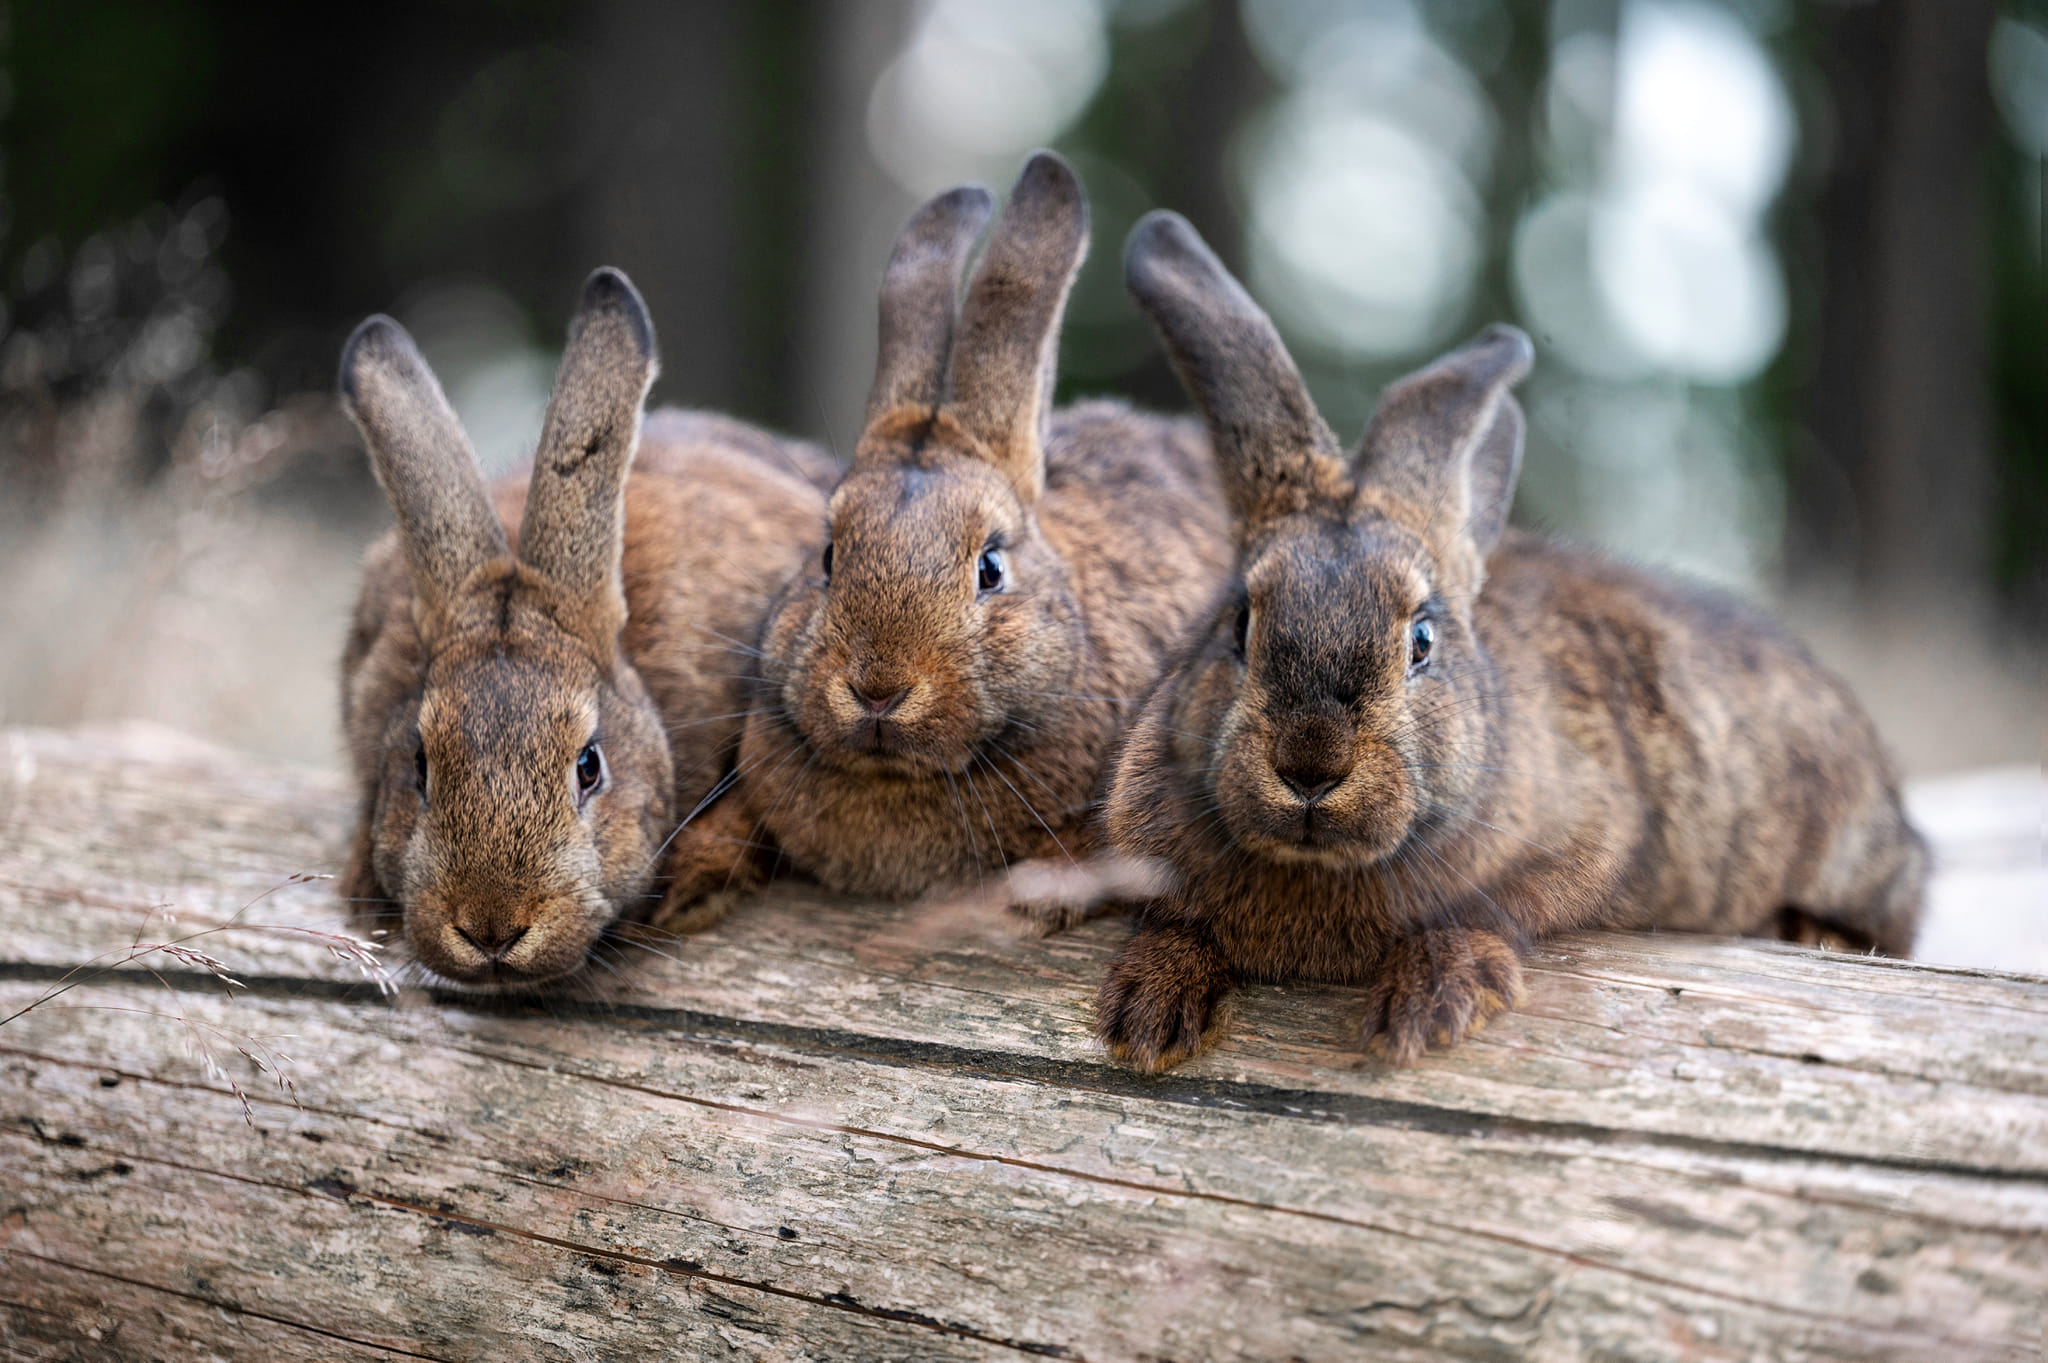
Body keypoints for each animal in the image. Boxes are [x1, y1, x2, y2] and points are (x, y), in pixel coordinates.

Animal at [1093, 210, 1929, 1070]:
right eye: (1239, 623)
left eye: (1422, 641)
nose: (1310, 765)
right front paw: (1147, 1011)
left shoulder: (1586, 839)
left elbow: (1485, 915)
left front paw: (1429, 1005)